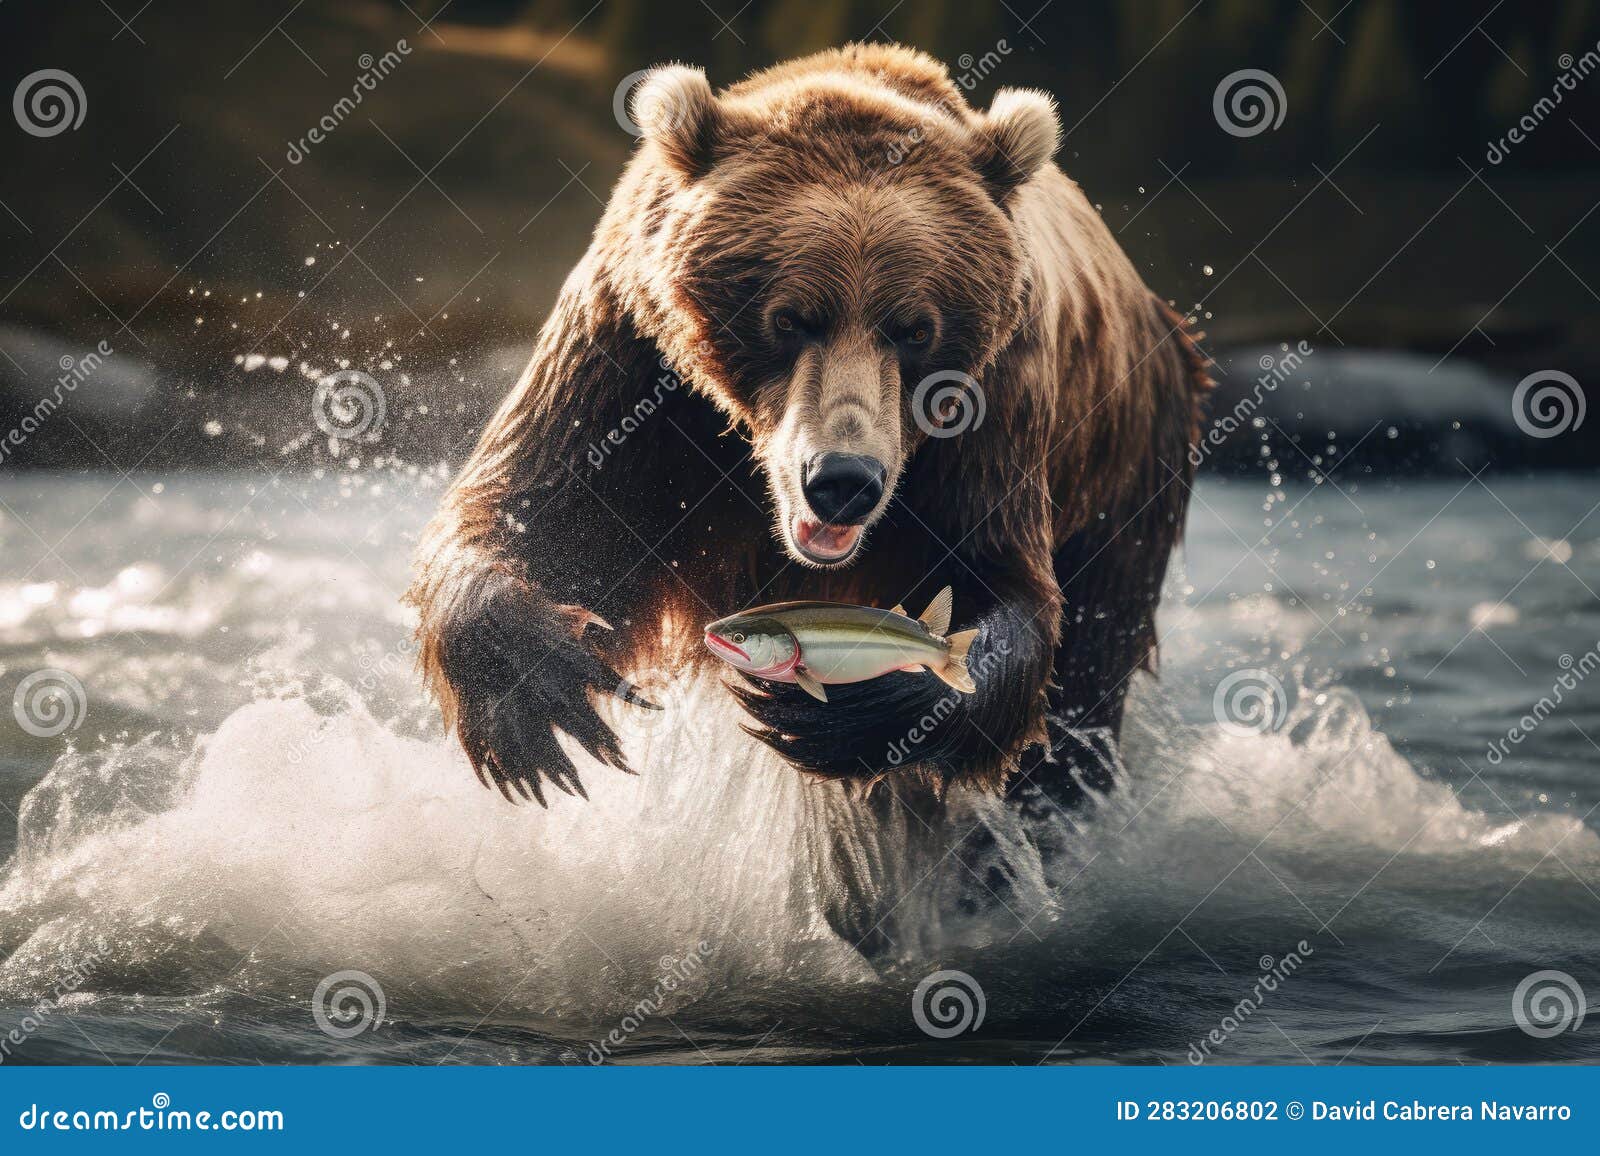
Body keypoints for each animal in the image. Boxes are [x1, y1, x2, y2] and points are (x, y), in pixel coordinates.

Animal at [405, 44, 1211, 807]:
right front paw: (541, 685)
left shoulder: (993, 409)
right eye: (789, 317)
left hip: (1126, 477)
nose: (843, 481)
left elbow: (1008, 592)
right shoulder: (634, 367)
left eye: (914, 329)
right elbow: (534, 507)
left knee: (1089, 673)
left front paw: (852, 708)